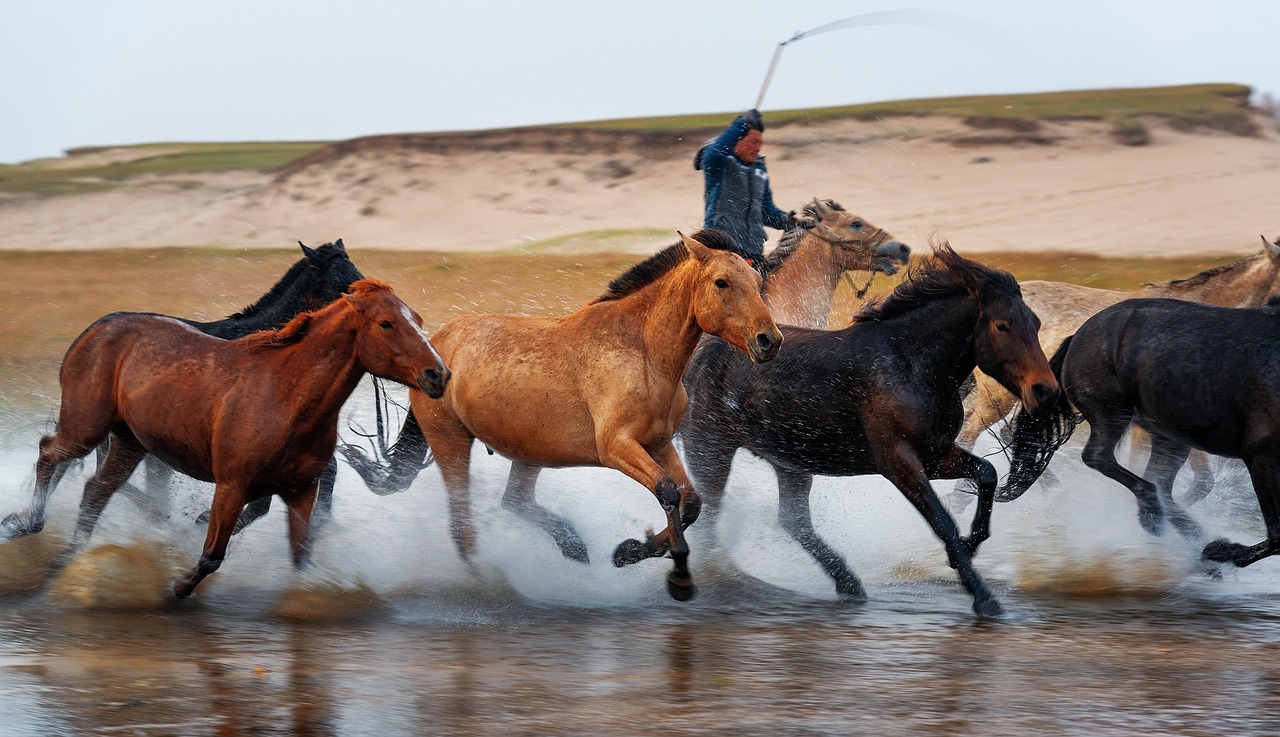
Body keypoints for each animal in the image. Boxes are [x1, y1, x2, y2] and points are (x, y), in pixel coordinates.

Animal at [0, 279, 449, 598]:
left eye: (418, 319)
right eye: (386, 323)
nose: (438, 375)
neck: (288, 395)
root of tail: (97, 329)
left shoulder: (301, 490)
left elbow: (302, 556)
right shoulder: (233, 485)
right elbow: (212, 554)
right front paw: (176, 587)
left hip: (129, 443)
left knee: (95, 490)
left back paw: (66, 559)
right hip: (86, 428)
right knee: (49, 454)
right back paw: (22, 524)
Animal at [407, 230, 781, 601]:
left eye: (756, 279)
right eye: (722, 282)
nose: (769, 340)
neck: (641, 352)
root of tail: (433, 348)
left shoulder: (658, 443)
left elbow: (690, 501)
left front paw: (628, 551)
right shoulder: (616, 447)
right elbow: (667, 491)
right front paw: (679, 576)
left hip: (529, 451)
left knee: (514, 501)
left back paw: (574, 547)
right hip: (450, 442)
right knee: (463, 525)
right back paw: (493, 584)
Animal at [680, 244, 1059, 616]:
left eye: (1036, 322)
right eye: (1002, 325)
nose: (1046, 391)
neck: (915, 367)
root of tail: (698, 356)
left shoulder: (934, 455)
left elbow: (987, 474)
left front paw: (968, 547)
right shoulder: (898, 462)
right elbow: (943, 521)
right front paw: (984, 597)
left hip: (790, 460)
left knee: (793, 520)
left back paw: (848, 584)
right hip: (711, 449)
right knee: (710, 519)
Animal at [998, 297, 1280, 571]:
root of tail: (1077, 336)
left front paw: (1219, 551)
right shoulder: (1261, 454)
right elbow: (1277, 536)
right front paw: (1222, 552)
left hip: (1169, 435)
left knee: (1159, 482)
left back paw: (1188, 535)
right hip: (1112, 412)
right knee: (1100, 459)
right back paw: (1157, 519)